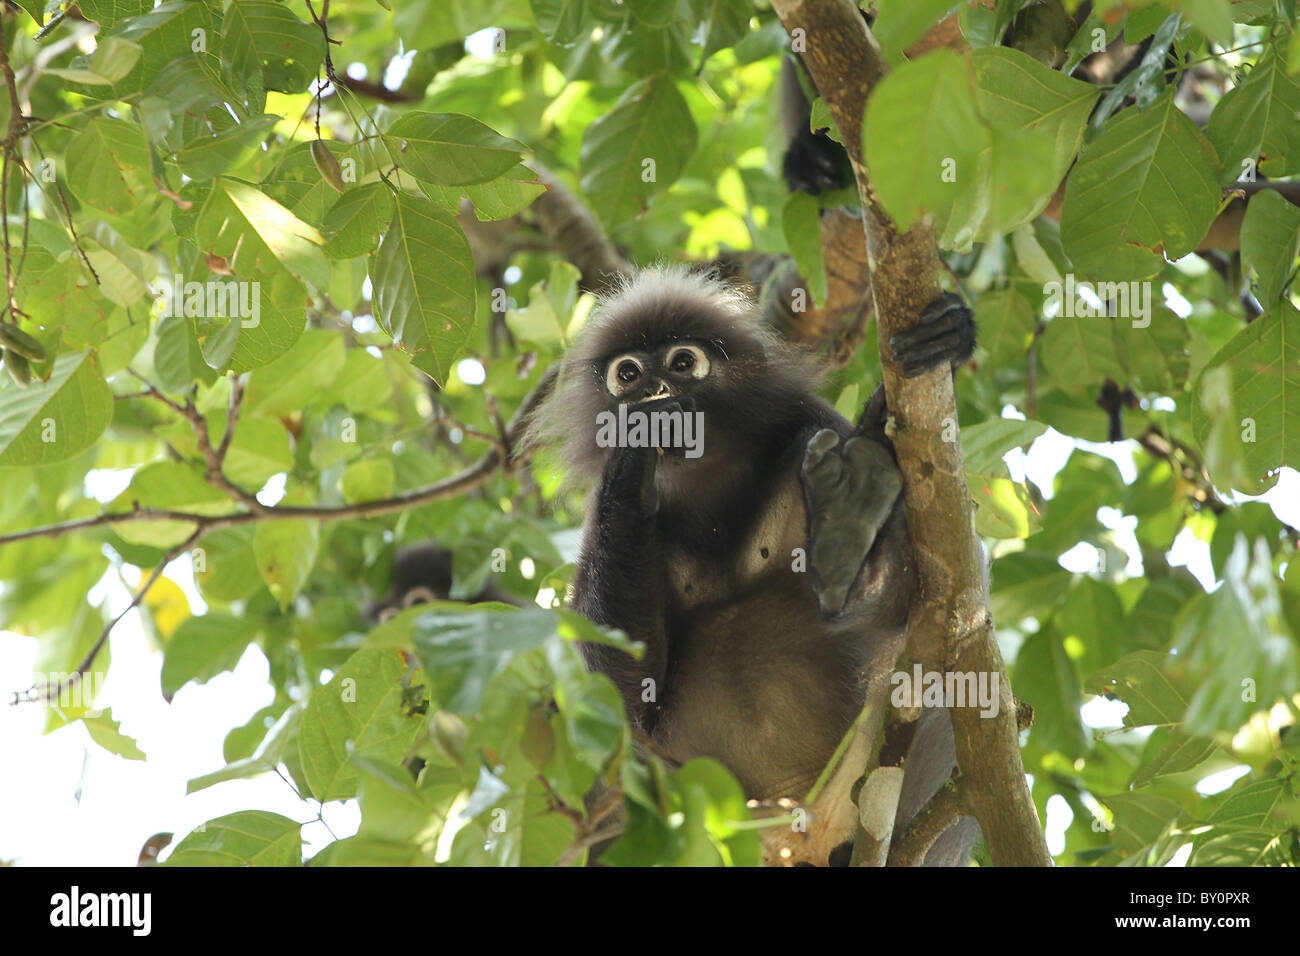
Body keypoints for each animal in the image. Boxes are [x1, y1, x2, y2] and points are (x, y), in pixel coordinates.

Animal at [528, 267, 980, 866]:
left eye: (682, 363)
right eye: (627, 374)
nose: (657, 394)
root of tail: (799, 830)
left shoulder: (813, 425)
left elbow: (919, 602)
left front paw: (946, 337)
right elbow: (618, 707)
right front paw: (635, 449)